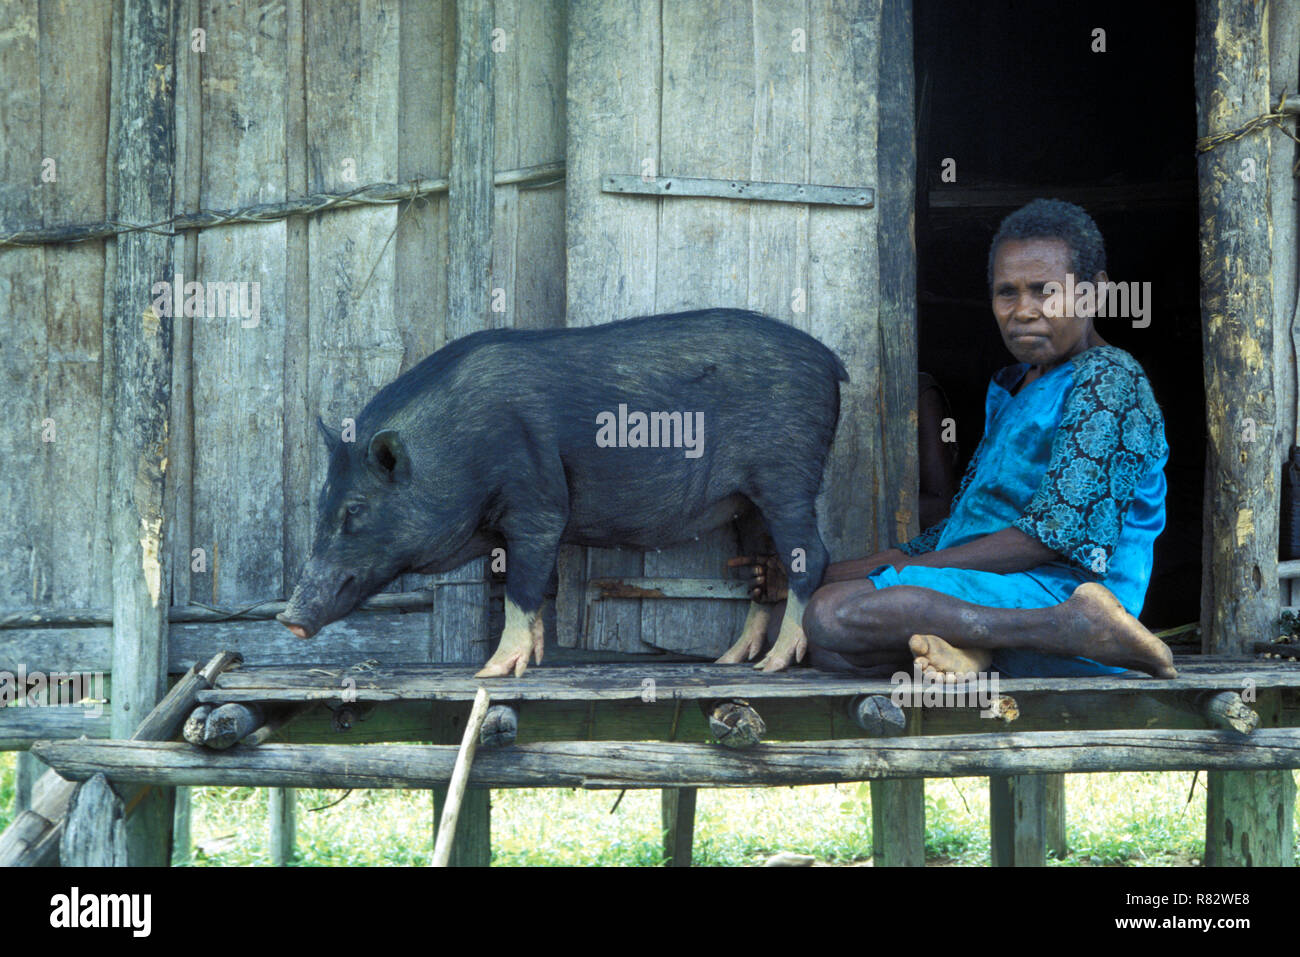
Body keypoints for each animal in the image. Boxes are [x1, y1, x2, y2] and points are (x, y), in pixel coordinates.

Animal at [277, 308, 848, 677]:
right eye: (323, 502)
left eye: (356, 509)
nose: (288, 619)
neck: (459, 447)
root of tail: (830, 360)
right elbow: (522, 589)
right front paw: (529, 661)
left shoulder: (538, 502)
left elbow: (522, 586)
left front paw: (489, 674)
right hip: (747, 505)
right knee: (763, 572)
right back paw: (732, 660)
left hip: (787, 475)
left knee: (810, 557)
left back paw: (774, 665)